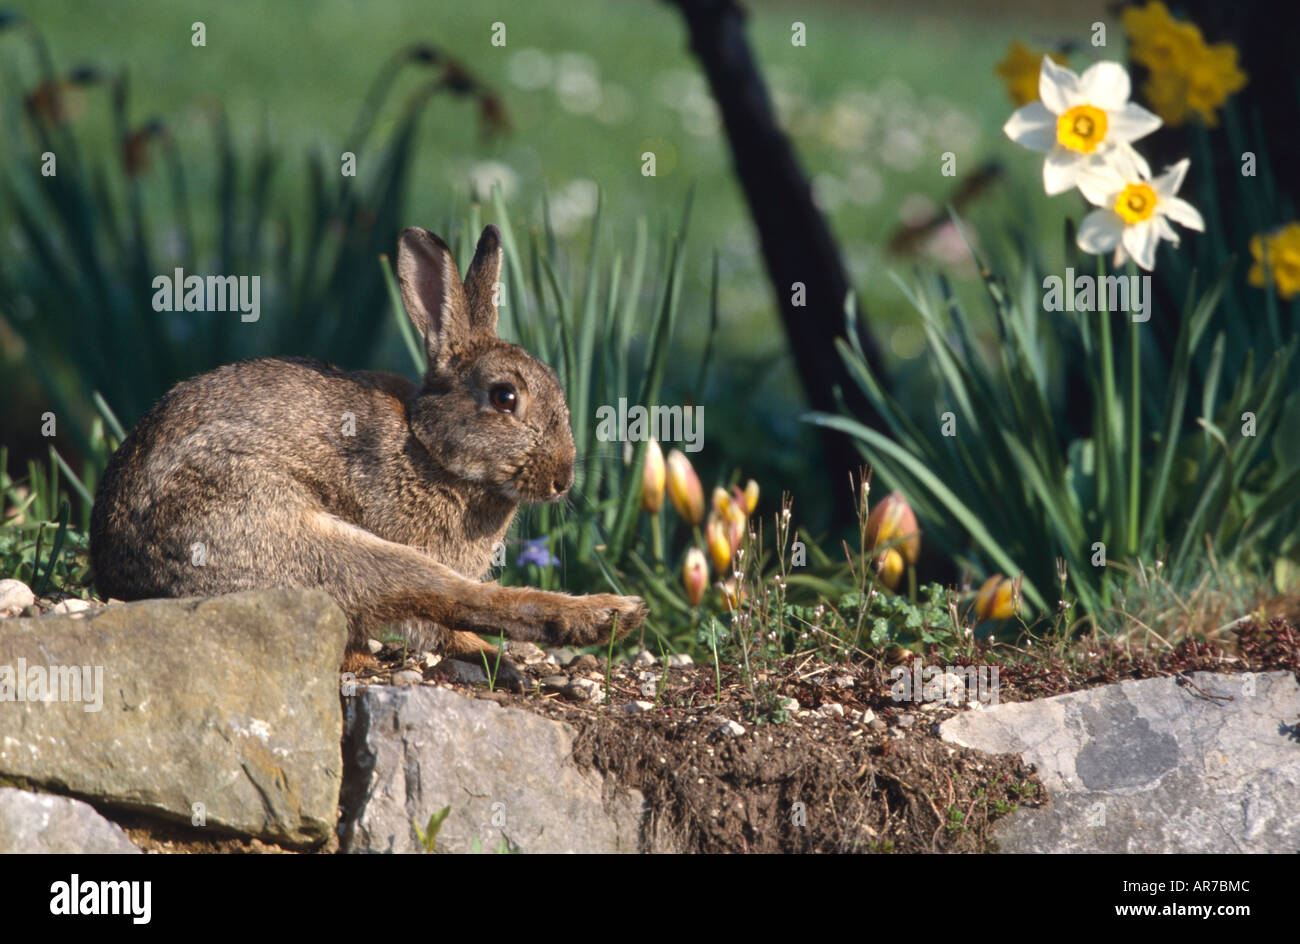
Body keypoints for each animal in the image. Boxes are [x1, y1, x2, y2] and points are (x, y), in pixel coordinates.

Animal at [89, 224, 647, 668]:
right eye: (504, 397)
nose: (562, 480)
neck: (428, 448)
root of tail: (127, 581)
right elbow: (437, 614)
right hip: (304, 536)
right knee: (446, 594)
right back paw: (608, 616)